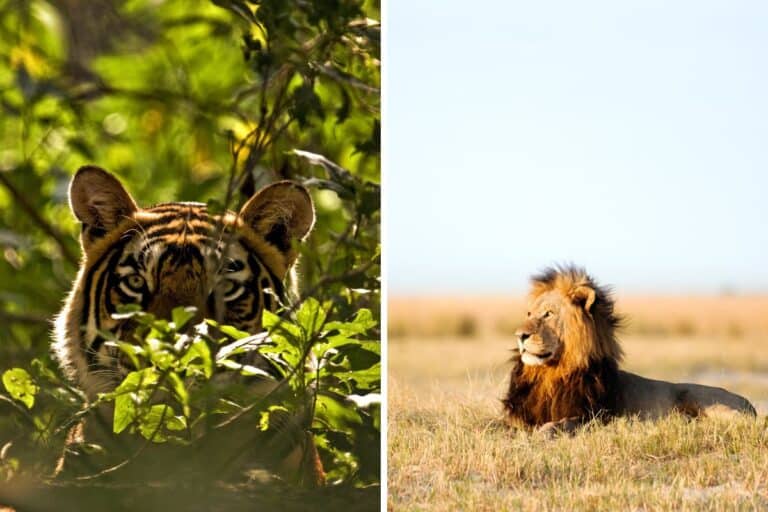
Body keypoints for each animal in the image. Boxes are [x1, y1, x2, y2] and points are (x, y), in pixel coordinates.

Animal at [502, 265, 756, 435]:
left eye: (548, 314)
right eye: (529, 314)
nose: (519, 335)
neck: (551, 374)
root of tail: (749, 403)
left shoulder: (596, 417)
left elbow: (563, 422)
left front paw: (545, 431)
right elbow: (498, 424)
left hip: (702, 398)